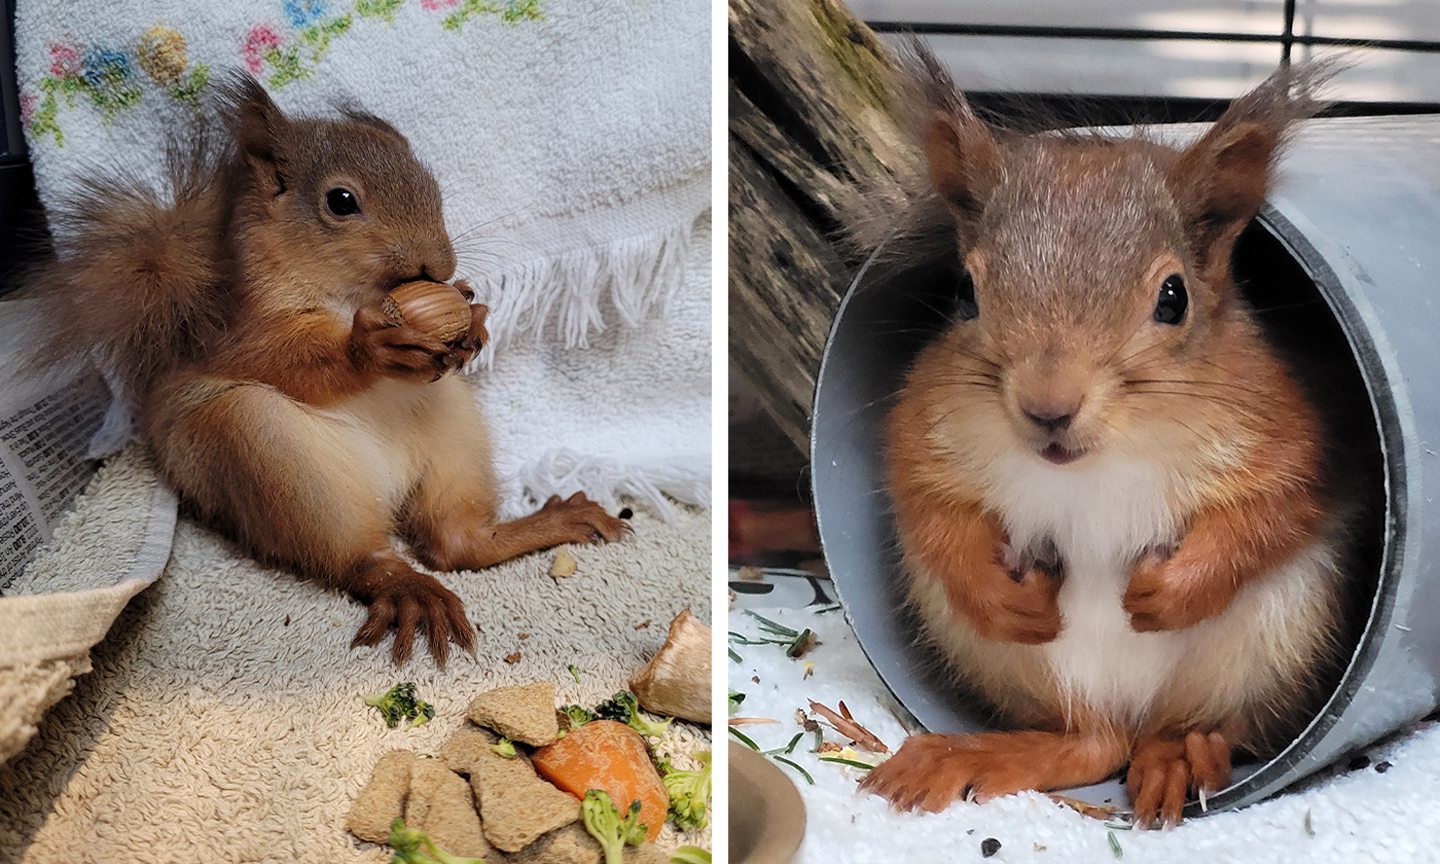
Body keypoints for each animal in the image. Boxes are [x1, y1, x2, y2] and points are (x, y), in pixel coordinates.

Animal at [18, 74, 628, 666]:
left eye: (432, 187)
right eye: (340, 201)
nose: (440, 265)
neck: (349, 298)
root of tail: (389, 486)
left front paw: (473, 319)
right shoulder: (243, 334)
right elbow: (297, 363)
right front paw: (371, 346)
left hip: (453, 425)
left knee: (455, 544)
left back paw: (555, 520)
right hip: (269, 450)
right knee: (361, 559)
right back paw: (408, 587)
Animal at [856, 45, 1354, 827]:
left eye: (1174, 297)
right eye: (965, 293)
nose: (1048, 407)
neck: (1092, 467)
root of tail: (1124, 707)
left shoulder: (1294, 434)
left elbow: (1271, 513)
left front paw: (1165, 592)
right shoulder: (920, 433)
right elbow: (931, 513)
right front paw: (1001, 596)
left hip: (1272, 645)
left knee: (1181, 731)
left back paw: (1181, 753)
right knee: (1091, 743)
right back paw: (970, 753)